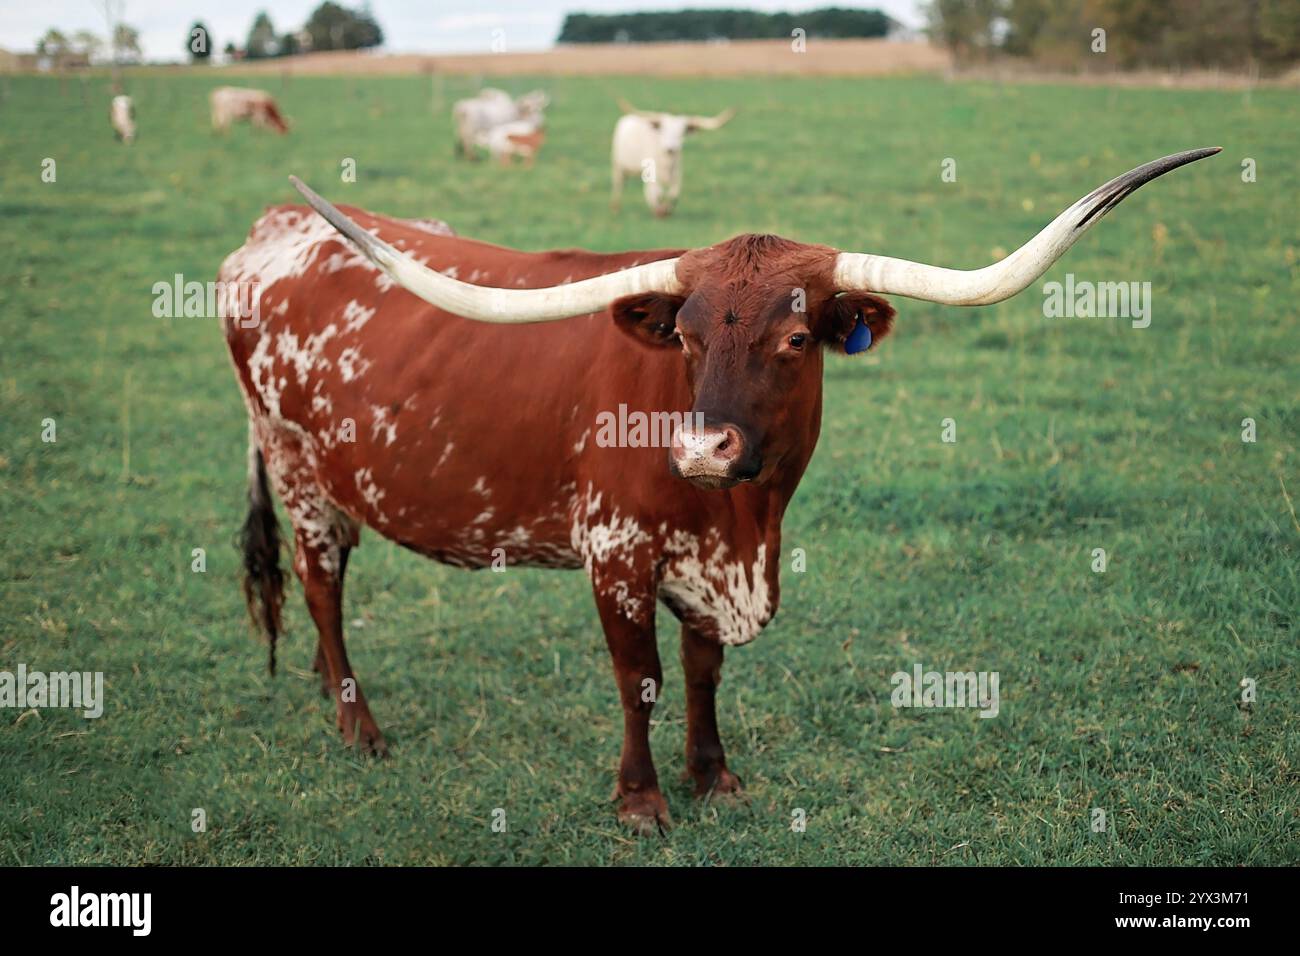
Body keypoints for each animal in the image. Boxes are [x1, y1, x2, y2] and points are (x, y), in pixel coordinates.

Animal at [219, 147, 1218, 833]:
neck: (743, 521)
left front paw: (715, 779)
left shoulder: (708, 566)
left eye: (798, 338)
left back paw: (327, 687)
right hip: (296, 466)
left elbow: (703, 672)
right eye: (688, 337)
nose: (702, 446)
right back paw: (359, 727)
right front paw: (641, 802)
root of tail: (275, 227)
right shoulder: (616, 555)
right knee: (322, 584)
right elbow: (642, 680)